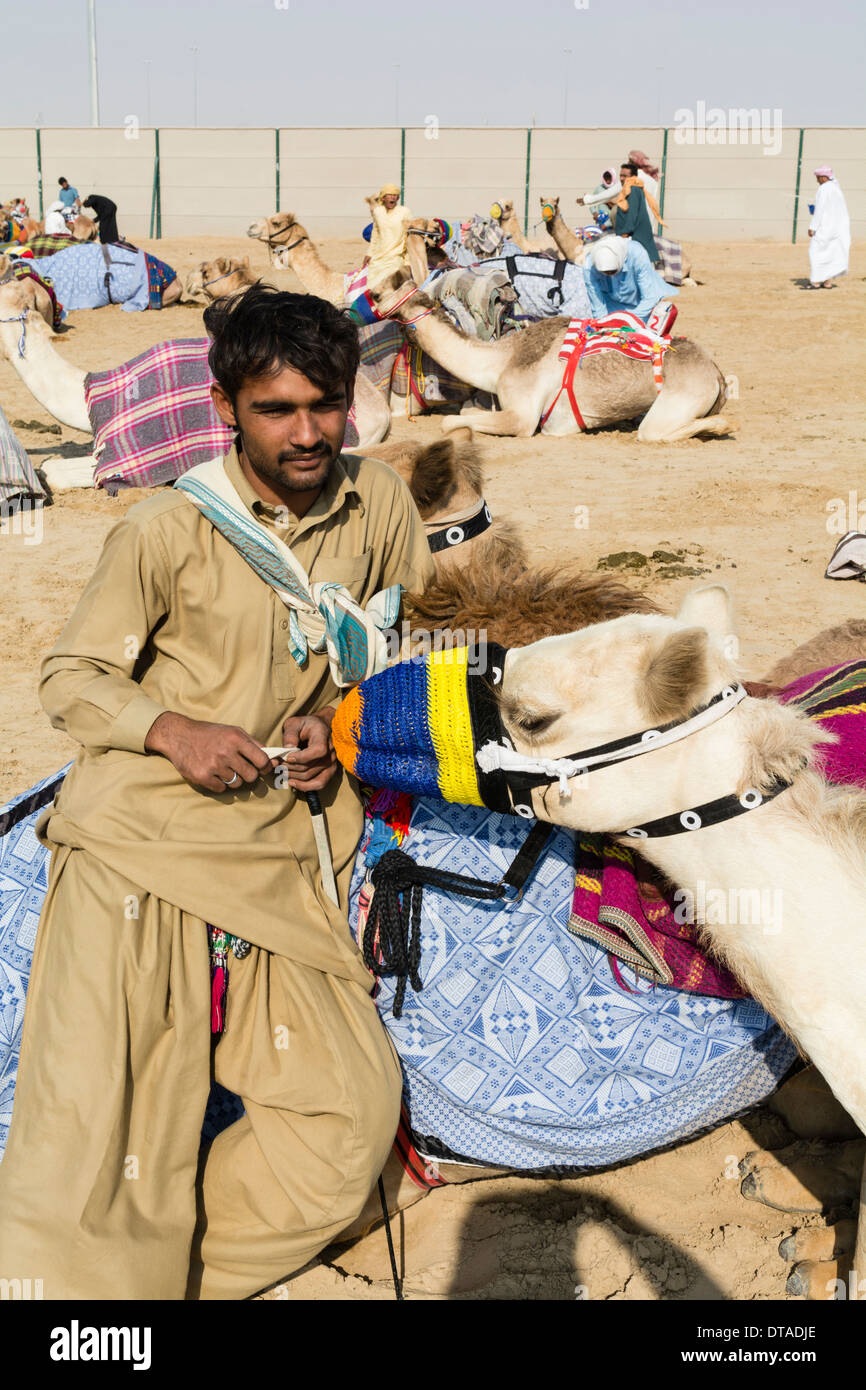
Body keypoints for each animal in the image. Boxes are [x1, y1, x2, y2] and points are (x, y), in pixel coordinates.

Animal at [372, 273, 734, 443]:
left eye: (380, 292)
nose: (369, 294)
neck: (501, 362)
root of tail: (716, 373)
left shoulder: (523, 415)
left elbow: (451, 421)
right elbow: (464, 410)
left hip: (677, 402)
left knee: (656, 430)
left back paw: (721, 426)